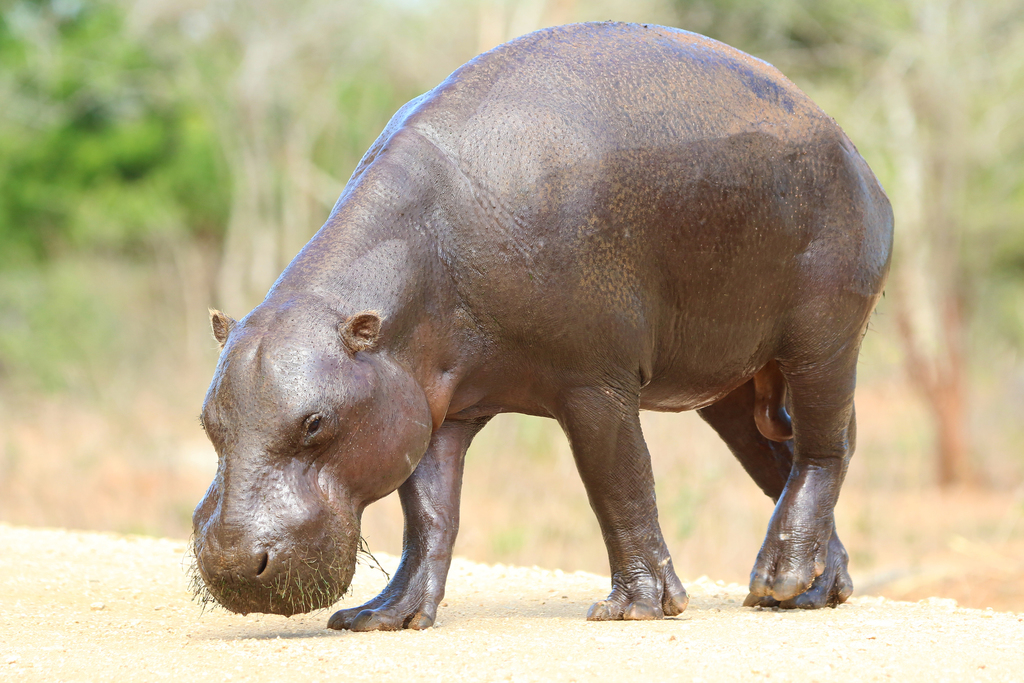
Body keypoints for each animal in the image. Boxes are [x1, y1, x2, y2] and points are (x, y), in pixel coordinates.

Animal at [193, 21, 893, 630]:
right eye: (208, 422)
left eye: (315, 423)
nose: (232, 562)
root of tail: (852, 148)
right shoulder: (429, 402)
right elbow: (429, 514)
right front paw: (383, 617)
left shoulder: (594, 385)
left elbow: (619, 484)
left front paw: (633, 609)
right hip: (731, 381)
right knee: (783, 458)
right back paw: (806, 593)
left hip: (822, 340)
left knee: (826, 448)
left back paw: (780, 577)